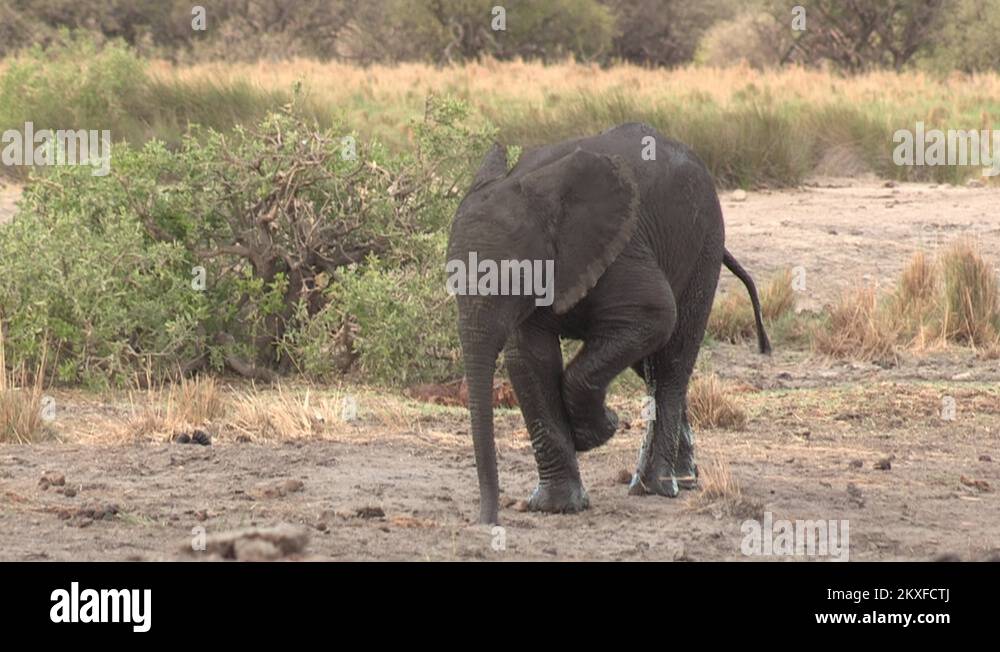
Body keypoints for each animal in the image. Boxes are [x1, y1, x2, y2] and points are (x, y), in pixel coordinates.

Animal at [446, 123, 770, 525]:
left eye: (515, 279)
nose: (487, 519)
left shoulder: (622, 247)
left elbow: (655, 315)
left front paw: (602, 429)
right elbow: (529, 359)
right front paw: (556, 506)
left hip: (705, 241)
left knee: (673, 359)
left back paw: (659, 486)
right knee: (650, 366)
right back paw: (681, 479)